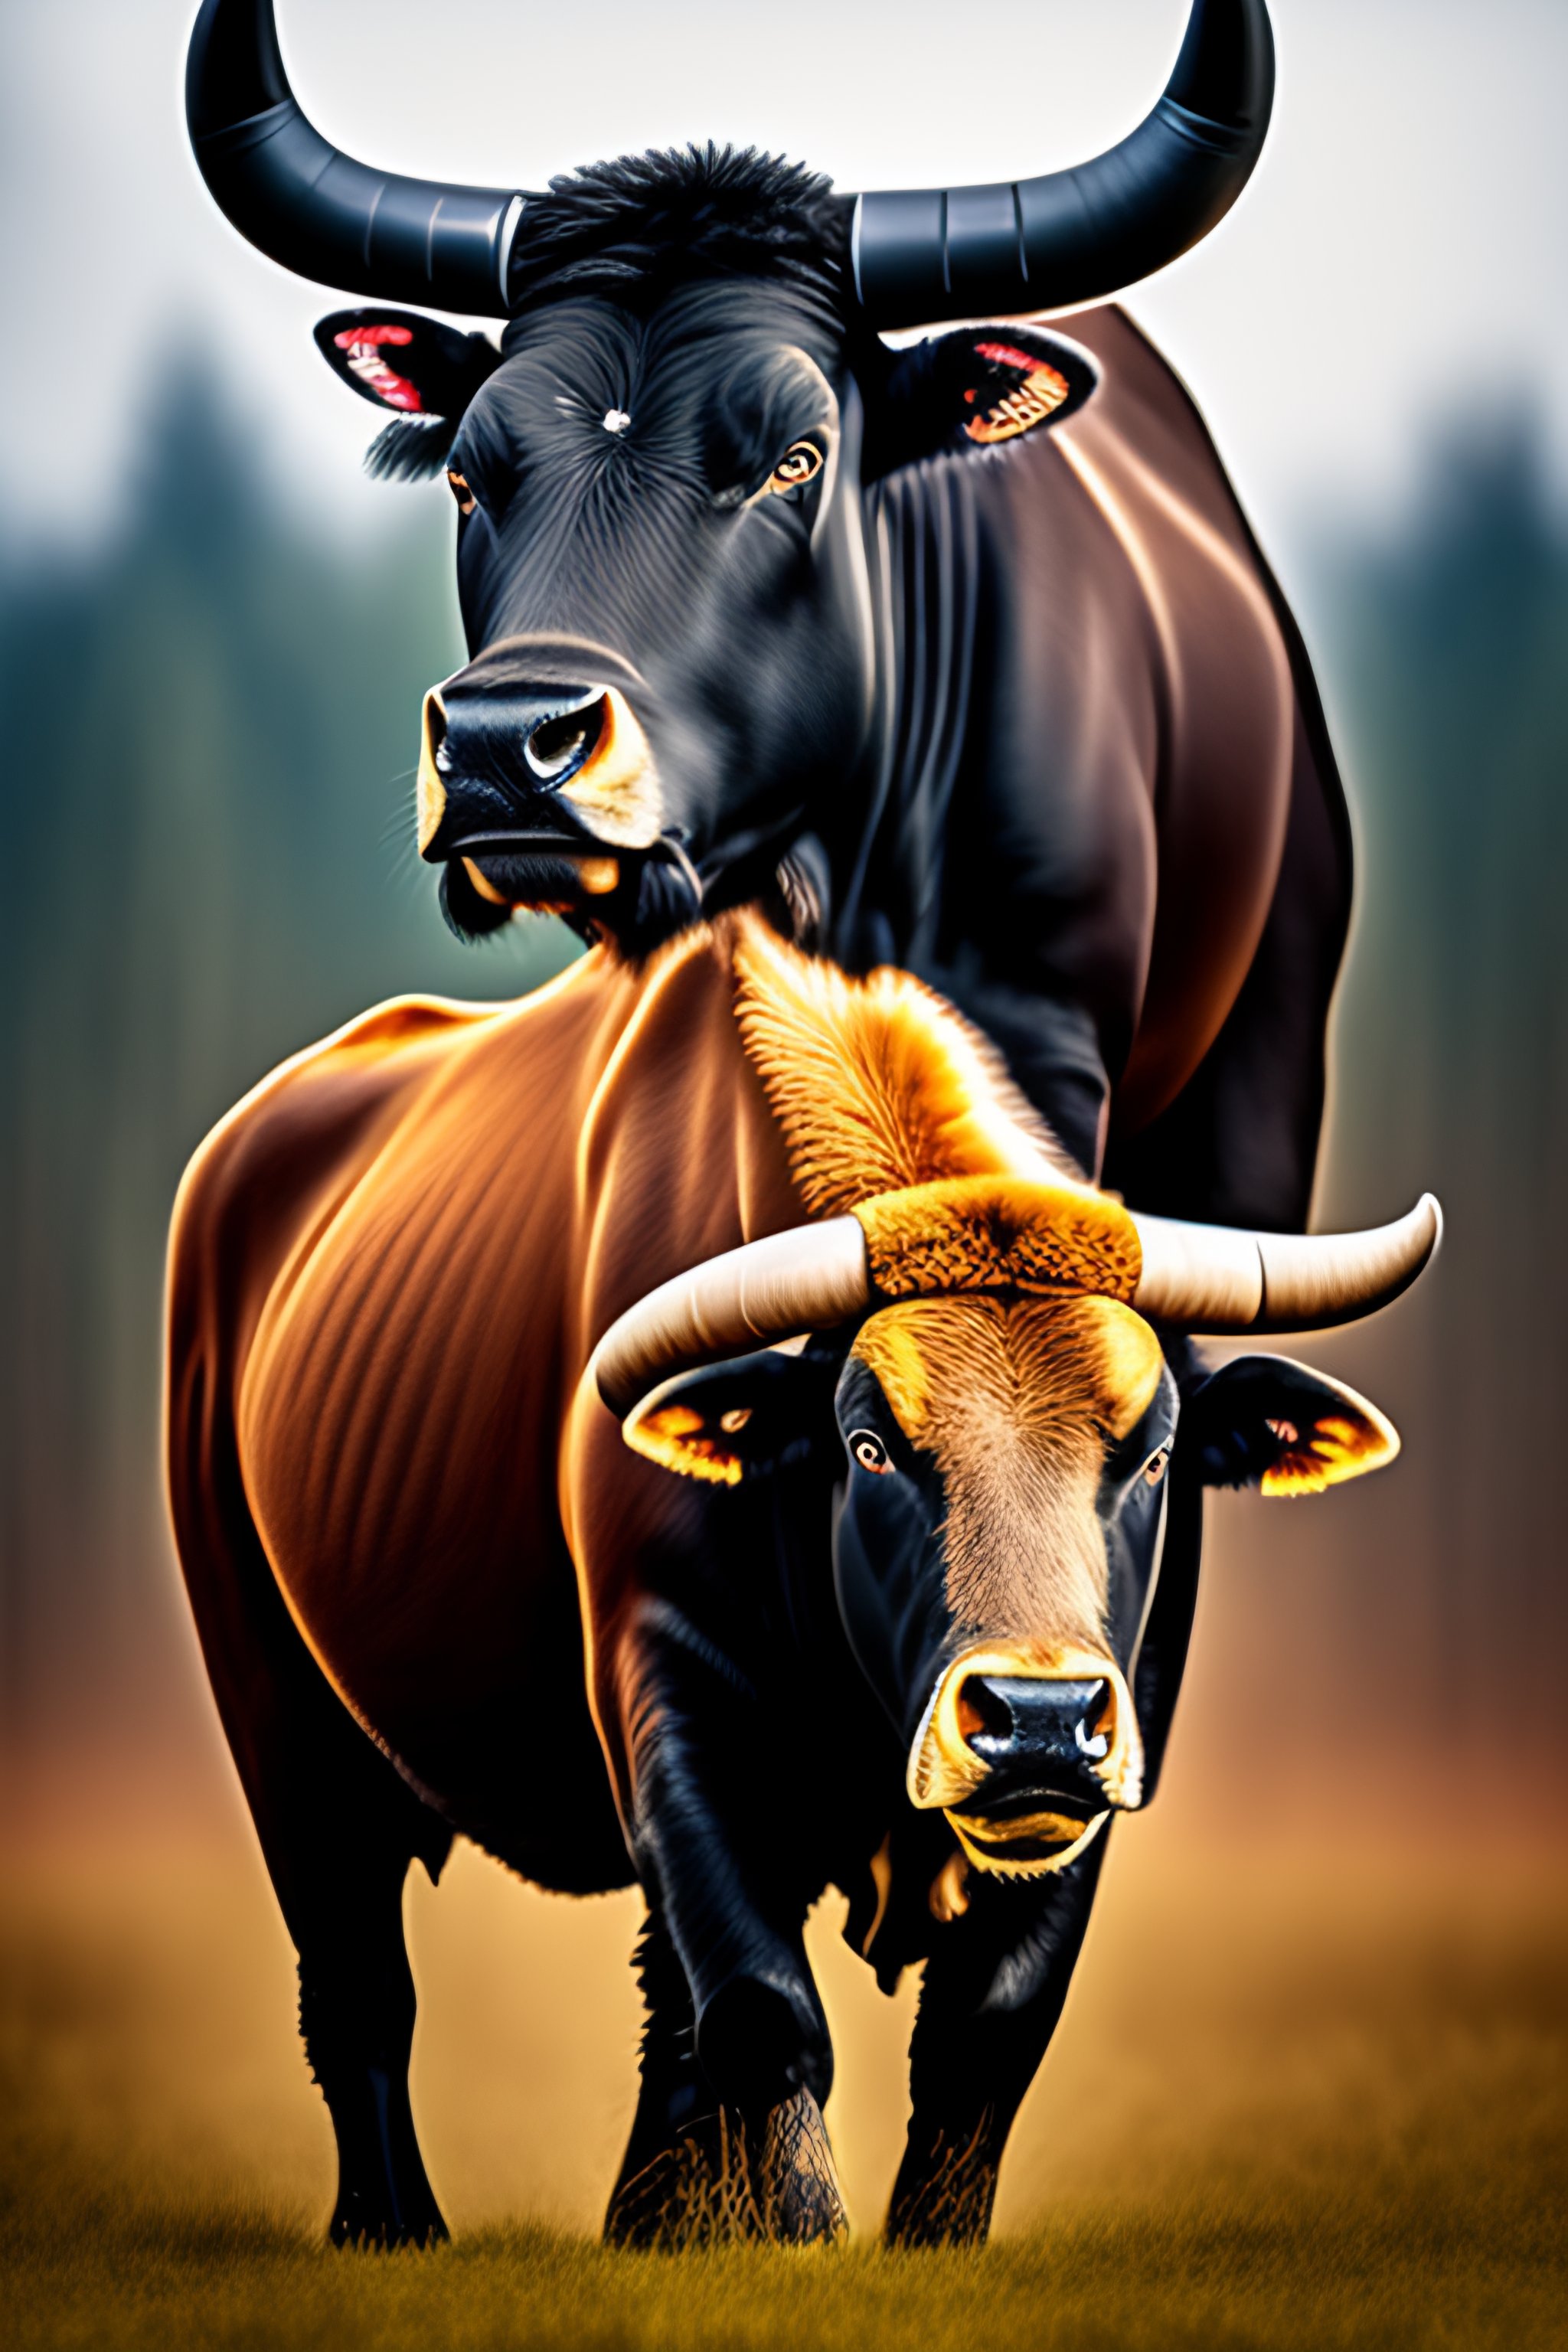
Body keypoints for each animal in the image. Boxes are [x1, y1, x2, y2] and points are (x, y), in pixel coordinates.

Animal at [165, 908, 1438, 2248]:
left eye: (1149, 1454)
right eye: (869, 1444)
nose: (1036, 1719)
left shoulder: (1117, 1752)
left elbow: (985, 2032)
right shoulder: (674, 1702)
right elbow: (762, 2004)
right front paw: (805, 2235)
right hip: (278, 1714)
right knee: (358, 1973)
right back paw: (394, 2225)